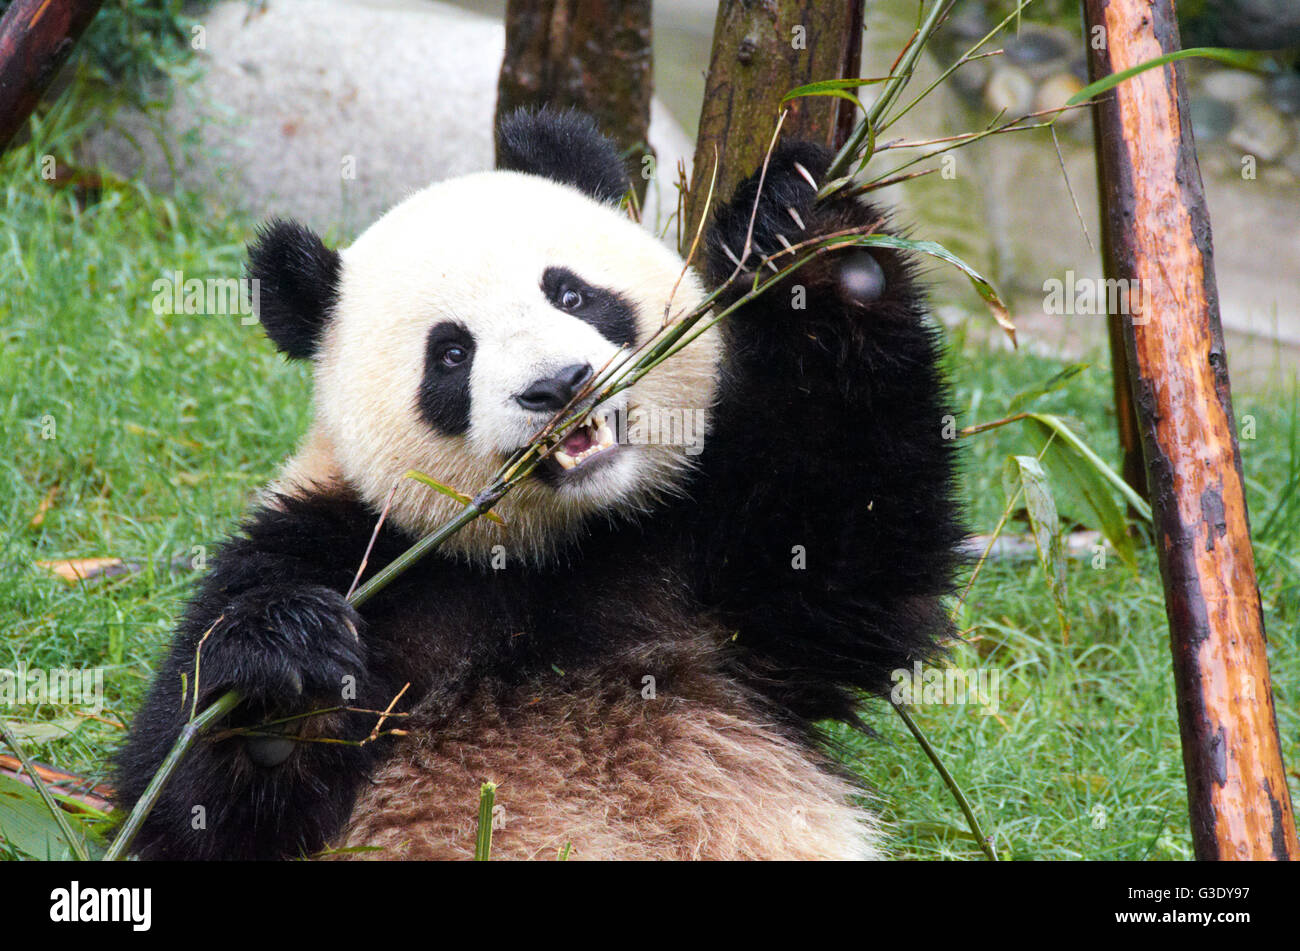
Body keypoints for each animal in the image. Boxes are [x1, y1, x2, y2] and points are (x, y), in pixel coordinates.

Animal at [113, 108, 965, 860]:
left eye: (572, 293)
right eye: (452, 353)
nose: (557, 385)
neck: (552, 544)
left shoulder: (714, 550)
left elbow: (854, 542)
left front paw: (807, 236)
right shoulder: (332, 542)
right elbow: (192, 809)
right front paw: (290, 664)